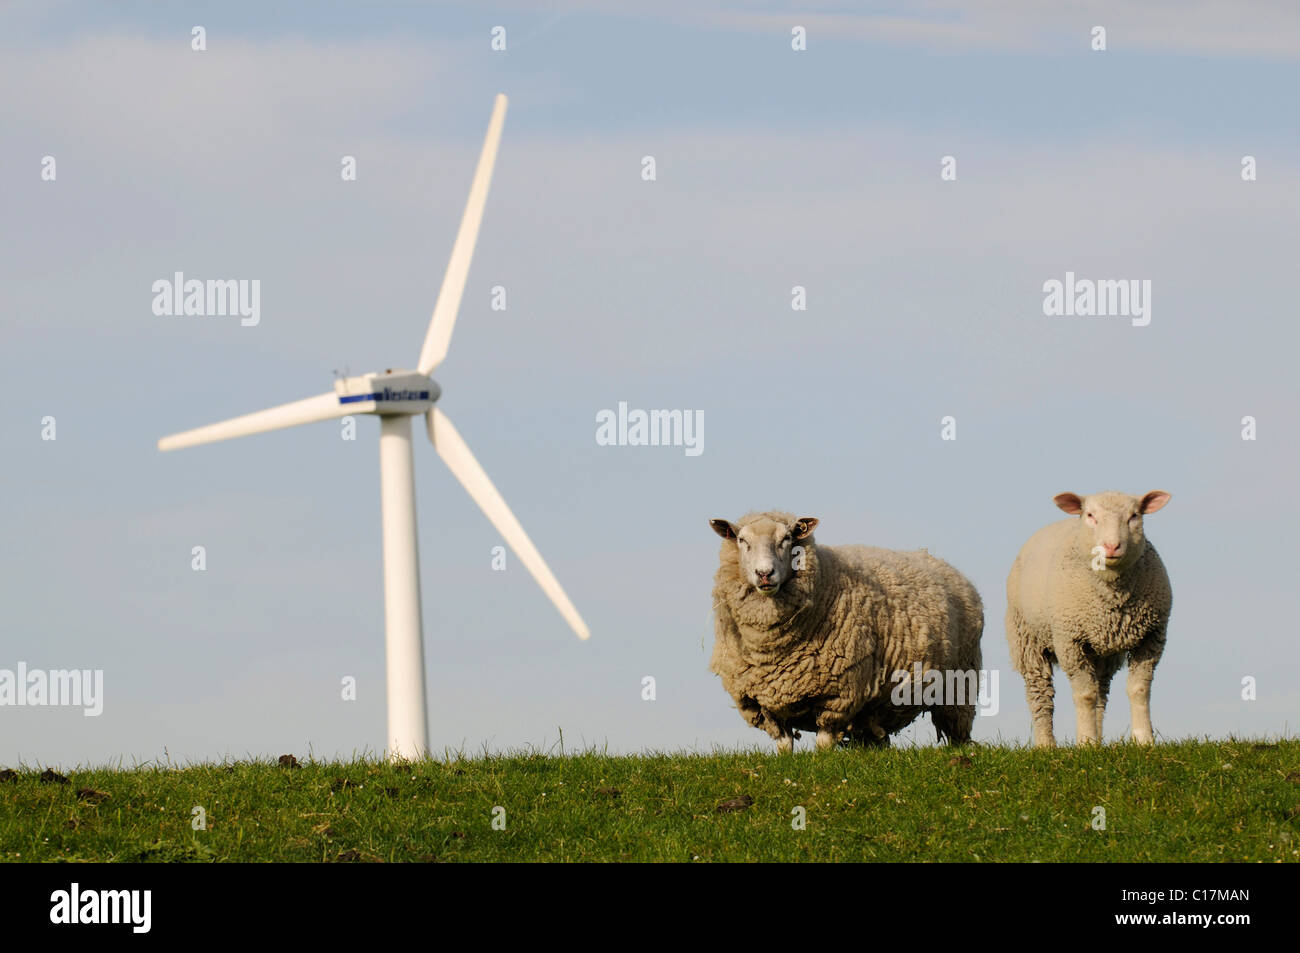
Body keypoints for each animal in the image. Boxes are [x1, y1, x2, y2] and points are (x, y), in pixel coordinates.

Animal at [708, 511, 984, 752]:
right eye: (742, 540)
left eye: (786, 539)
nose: (764, 574)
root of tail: (938, 561)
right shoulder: (765, 704)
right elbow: (784, 747)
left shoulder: (839, 694)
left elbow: (824, 743)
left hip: (959, 684)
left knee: (958, 730)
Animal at [1005, 490, 1172, 748]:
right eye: (1090, 515)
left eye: (1134, 516)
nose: (1111, 546)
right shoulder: (1071, 641)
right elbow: (1085, 695)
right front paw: (1085, 742)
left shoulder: (1151, 637)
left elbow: (1139, 689)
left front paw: (1144, 739)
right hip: (1027, 639)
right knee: (1040, 693)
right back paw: (1045, 744)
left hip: (1103, 653)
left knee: (1101, 692)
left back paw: (1099, 737)